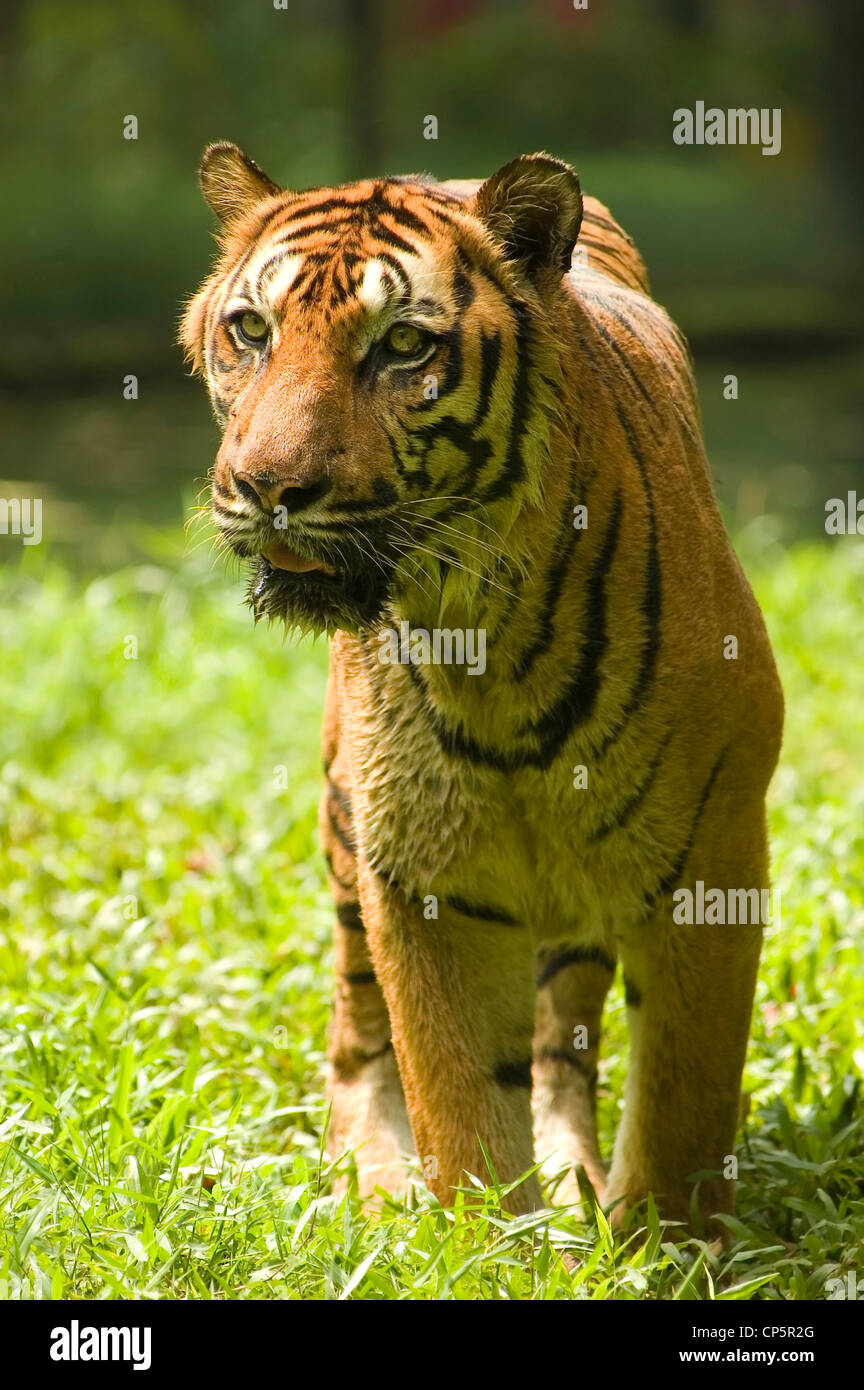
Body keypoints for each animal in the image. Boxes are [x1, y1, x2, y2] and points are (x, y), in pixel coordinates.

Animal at [181, 141, 784, 1233]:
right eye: (251, 330)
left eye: (401, 346)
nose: (267, 489)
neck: (489, 647)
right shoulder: (423, 876)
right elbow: (460, 1099)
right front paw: (484, 1242)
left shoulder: (710, 855)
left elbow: (682, 1102)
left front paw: (667, 1242)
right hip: (348, 826)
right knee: (356, 1027)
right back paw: (374, 1181)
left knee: (560, 1041)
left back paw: (577, 1178)